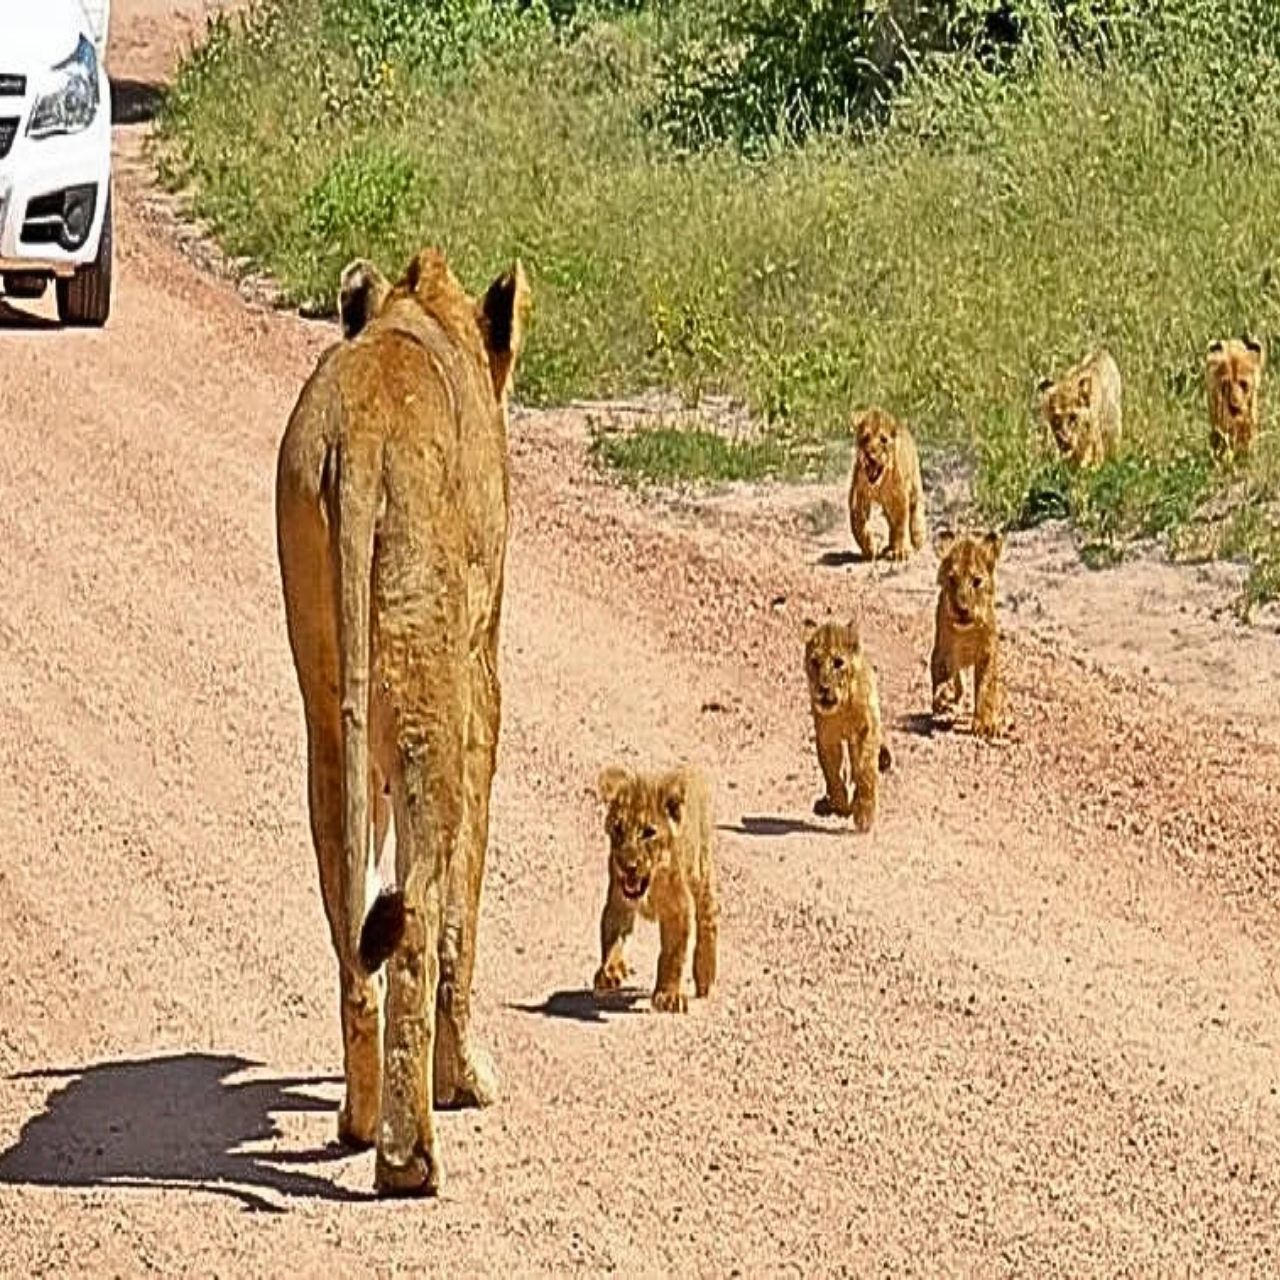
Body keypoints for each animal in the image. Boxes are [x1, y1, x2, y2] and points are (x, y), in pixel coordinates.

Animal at [275, 246, 529, 1197]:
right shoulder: (481, 684)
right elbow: (463, 910)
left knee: (350, 909)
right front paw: (467, 1081)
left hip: (324, 701)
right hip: (431, 702)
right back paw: (411, 1154)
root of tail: (362, 436)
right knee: (416, 913)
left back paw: (358, 1119)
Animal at [593, 764, 719, 1014]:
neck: (650, 885)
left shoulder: (679, 909)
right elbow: (612, 937)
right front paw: (610, 971)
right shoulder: (618, 901)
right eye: (618, 829)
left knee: (709, 913)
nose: (628, 866)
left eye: (648, 832)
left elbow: (672, 955)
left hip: (701, 870)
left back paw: (705, 975)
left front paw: (668, 996)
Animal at [804, 620, 892, 832]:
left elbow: (865, 770)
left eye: (838, 662)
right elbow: (832, 772)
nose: (823, 688)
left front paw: (864, 814)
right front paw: (841, 805)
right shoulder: (827, 736)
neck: (842, 705)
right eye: (815, 662)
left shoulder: (865, 730)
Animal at [848, 406, 927, 561]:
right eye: (865, 438)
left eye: (883, 439)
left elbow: (900, 524)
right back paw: (889, 547)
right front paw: (869, 548)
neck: (879, 482)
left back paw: (917, 539)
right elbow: (859, 525)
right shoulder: (858, 496)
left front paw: (901, 551)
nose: (871, 456)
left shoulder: (899, 497)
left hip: (914, 485)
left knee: (915, 511)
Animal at [930, 530, 1005, 739]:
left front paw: (985, 724)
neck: (967, 633)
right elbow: (943, 674)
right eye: (952, 579)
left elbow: (985, 687)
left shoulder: (987, 653)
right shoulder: (943, 651)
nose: (962, 609)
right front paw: (944, 699)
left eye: (976, 581)